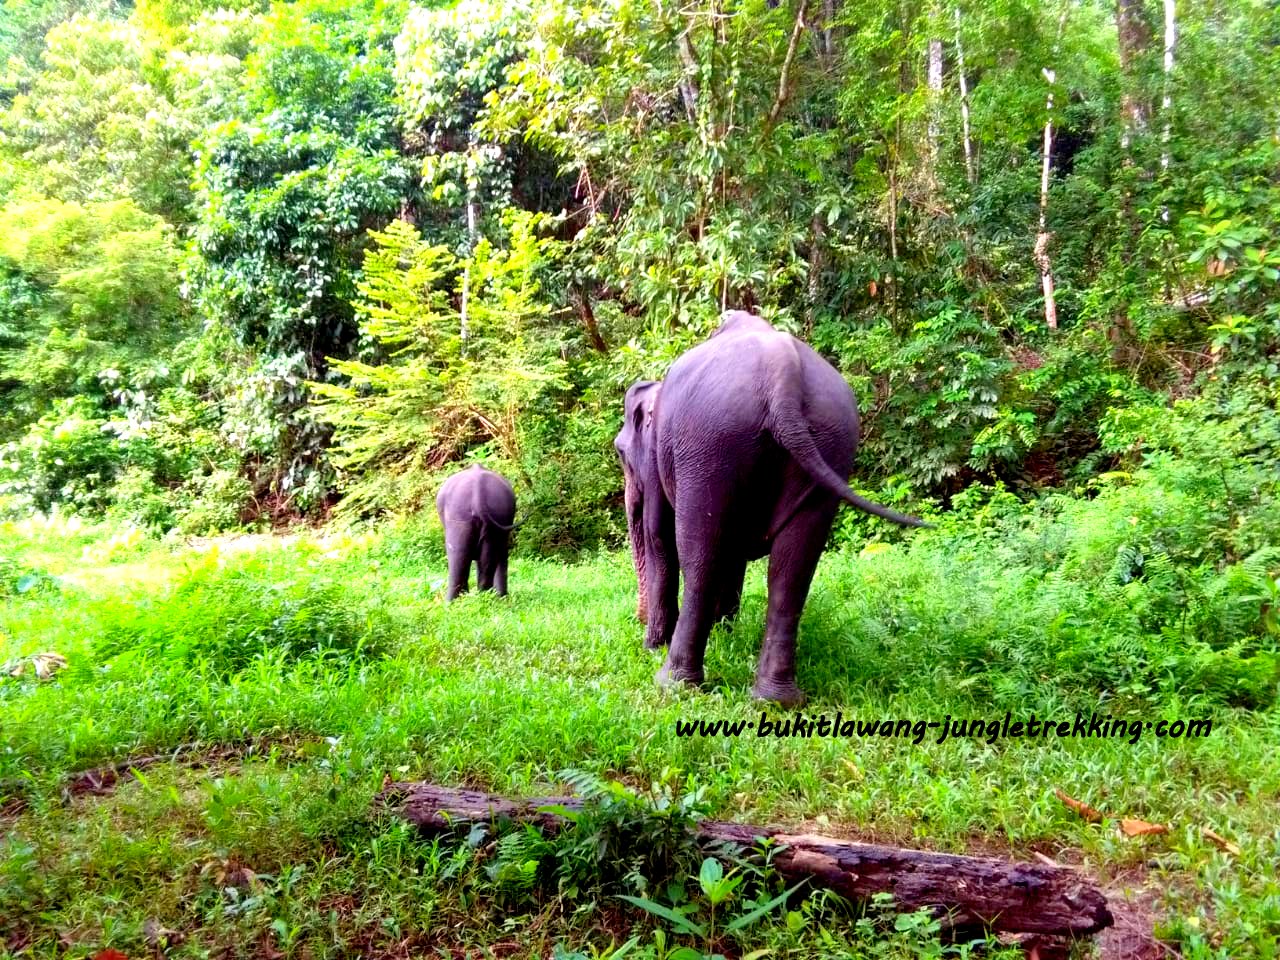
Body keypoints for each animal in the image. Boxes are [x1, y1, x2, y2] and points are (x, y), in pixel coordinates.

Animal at [436, 465, 516, 601]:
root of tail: (478, 491)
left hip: (458, 518)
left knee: (457, 556)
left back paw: (454, 602)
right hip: (497, 517)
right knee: (486, 559)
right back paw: (484, 598)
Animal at [614, 310, 927, 706]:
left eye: (620, 453)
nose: (638, 623)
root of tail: (783, 376)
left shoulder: (658, 457)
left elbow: (660, 539)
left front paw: (654, 647)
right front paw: (726, 635)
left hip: (709, 447)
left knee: (699, 555)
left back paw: (673, 684)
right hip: (829, 444)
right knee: (792, 569)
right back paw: (776, 699)